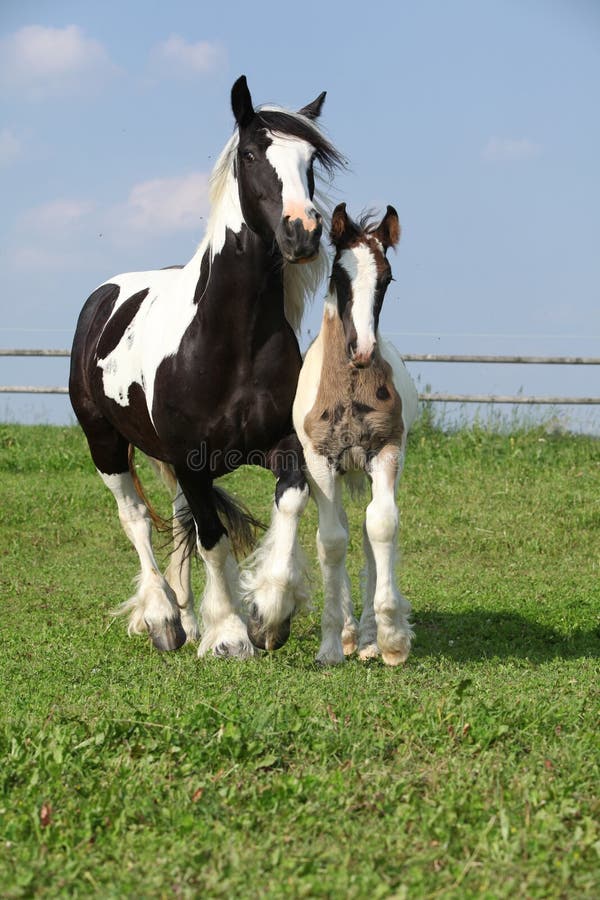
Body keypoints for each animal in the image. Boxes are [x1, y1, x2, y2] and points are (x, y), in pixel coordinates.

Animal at [69, 75, 344, 659]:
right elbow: (212, 540)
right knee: (137, 521)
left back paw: (189, 619)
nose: (303, 233)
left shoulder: (280, 447)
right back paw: (163, 620)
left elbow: (288, 507)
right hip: (105, 444)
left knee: (177, 523)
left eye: (310, 161)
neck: (230, 342)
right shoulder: (191, 461)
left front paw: (268, 615)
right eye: (251, 154)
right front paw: (229, 635)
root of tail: (104, 296)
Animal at [292, 203, 419, 666]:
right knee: (343, 530)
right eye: (338, 275)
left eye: (386, 278)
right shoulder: (319, 461)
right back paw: (349, 635)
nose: (361, 350)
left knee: (364, 532)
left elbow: (380, 527)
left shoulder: (385, 452)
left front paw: (391, 640)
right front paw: (331, 645)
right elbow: (331, 542)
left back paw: (365, 639)